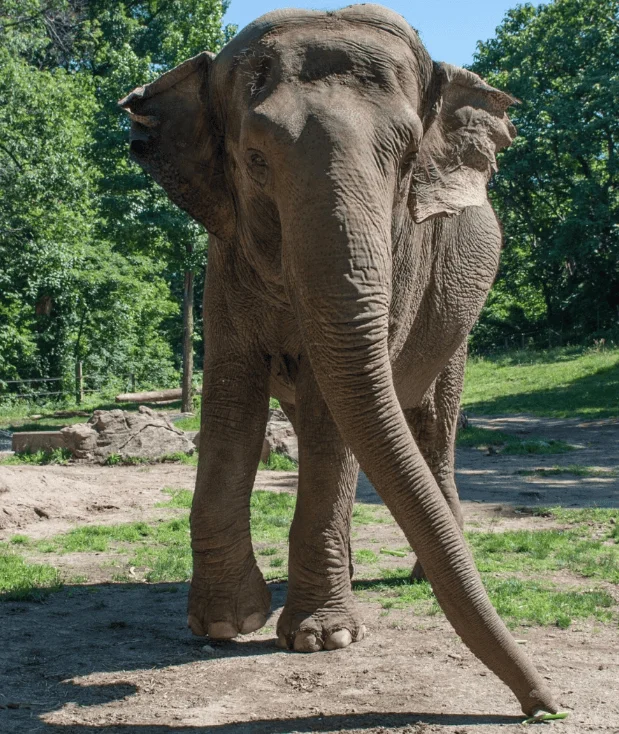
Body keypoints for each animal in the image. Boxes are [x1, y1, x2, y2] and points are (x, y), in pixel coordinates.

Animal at [120, 4, 558, 717]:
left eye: (406, 159)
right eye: (253, 159)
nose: (543, 704)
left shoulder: (407, 258)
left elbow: (334, 416)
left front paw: (323, 640)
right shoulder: (224, 256)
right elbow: (230, 406)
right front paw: (225, 624)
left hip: (457, 322)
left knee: (431, 424)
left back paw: (416, 574)